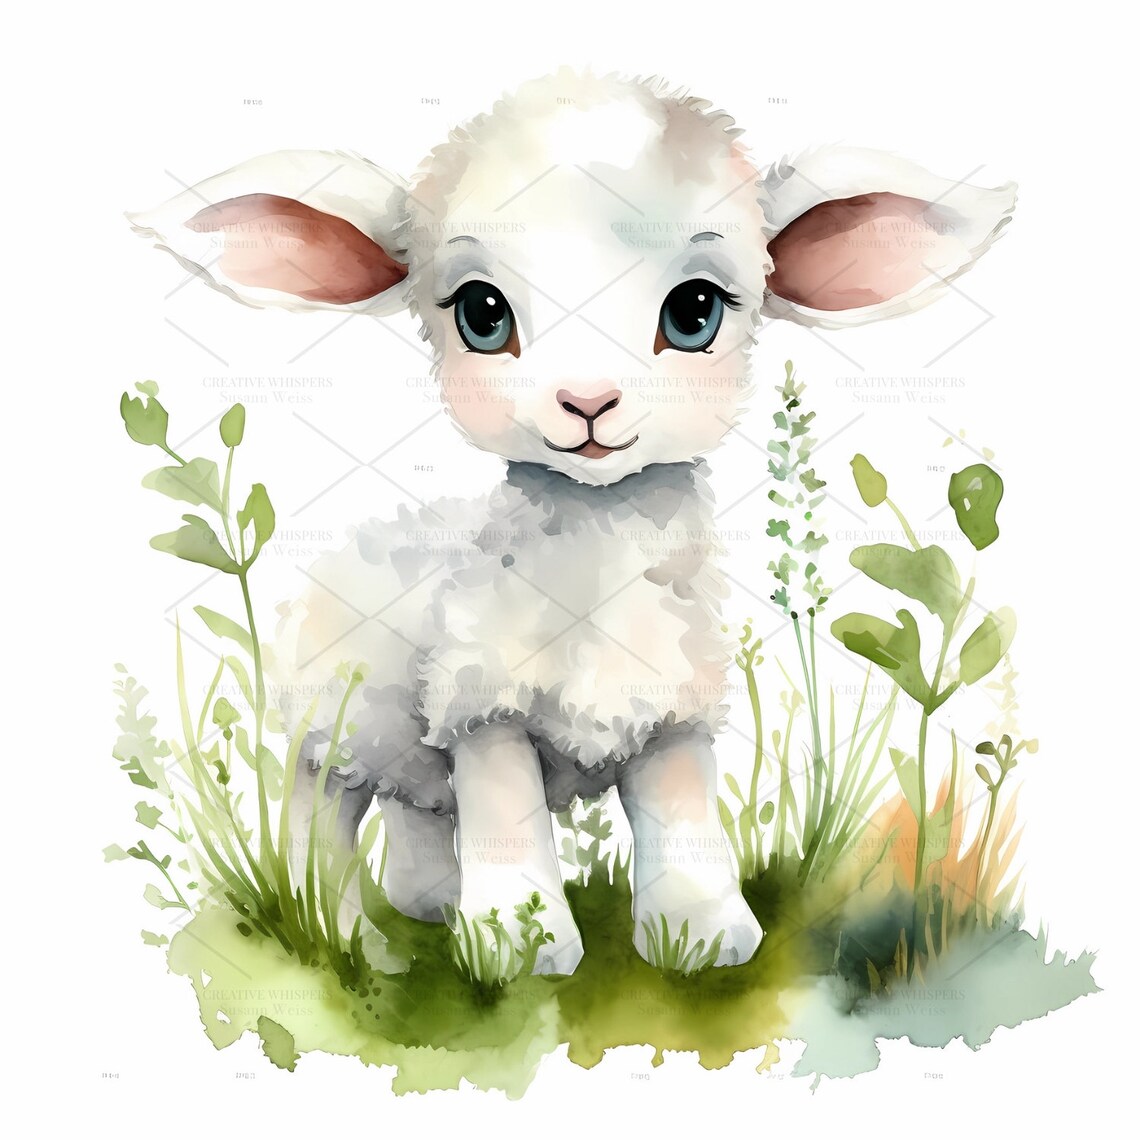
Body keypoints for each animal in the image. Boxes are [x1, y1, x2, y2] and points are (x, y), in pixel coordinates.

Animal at [129, 68, 1015, 974]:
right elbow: (507, 824)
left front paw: (700, 937)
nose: (587, 400)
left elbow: (683, 826)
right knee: (320, 825)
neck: (597, 569)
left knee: (417, 811)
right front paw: (516, 947)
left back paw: (429, 907)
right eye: (482, 313)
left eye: (696, 310)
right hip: (328, 733)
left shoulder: (672, 714)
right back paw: (348, 939)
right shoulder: (484, 707)